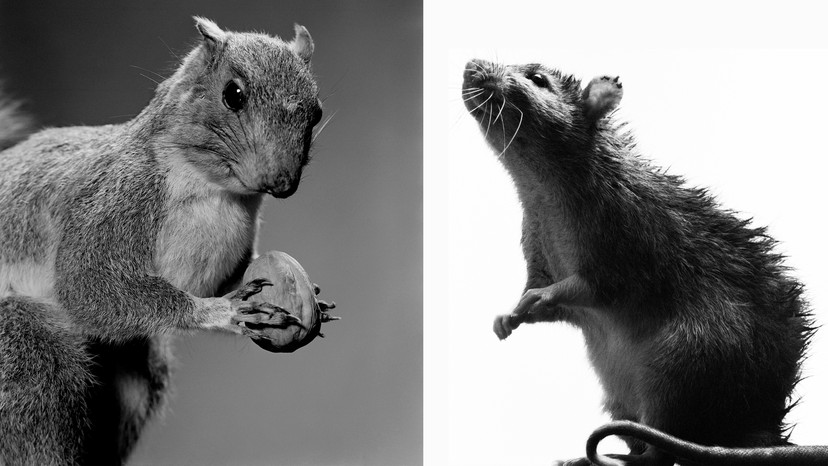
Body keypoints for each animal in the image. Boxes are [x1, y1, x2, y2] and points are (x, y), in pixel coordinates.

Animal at [0, 17, 324, 465]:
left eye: (317, 111)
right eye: (233, 94)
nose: (282, 182)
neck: (213, 193)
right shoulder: (112, 202)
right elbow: (88, 285)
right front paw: (220, 311)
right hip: (26, 356)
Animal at [463, 59, 828, 465]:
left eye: (537, 79)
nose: (472, 66)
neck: (540, 190)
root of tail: (748, 434)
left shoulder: (627, 233)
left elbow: (593, 287)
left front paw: (538, 298)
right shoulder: (538, 250)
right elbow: (546, 298)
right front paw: (508, 316)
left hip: (679, 364)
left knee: (660, 451)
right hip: (620, 398)